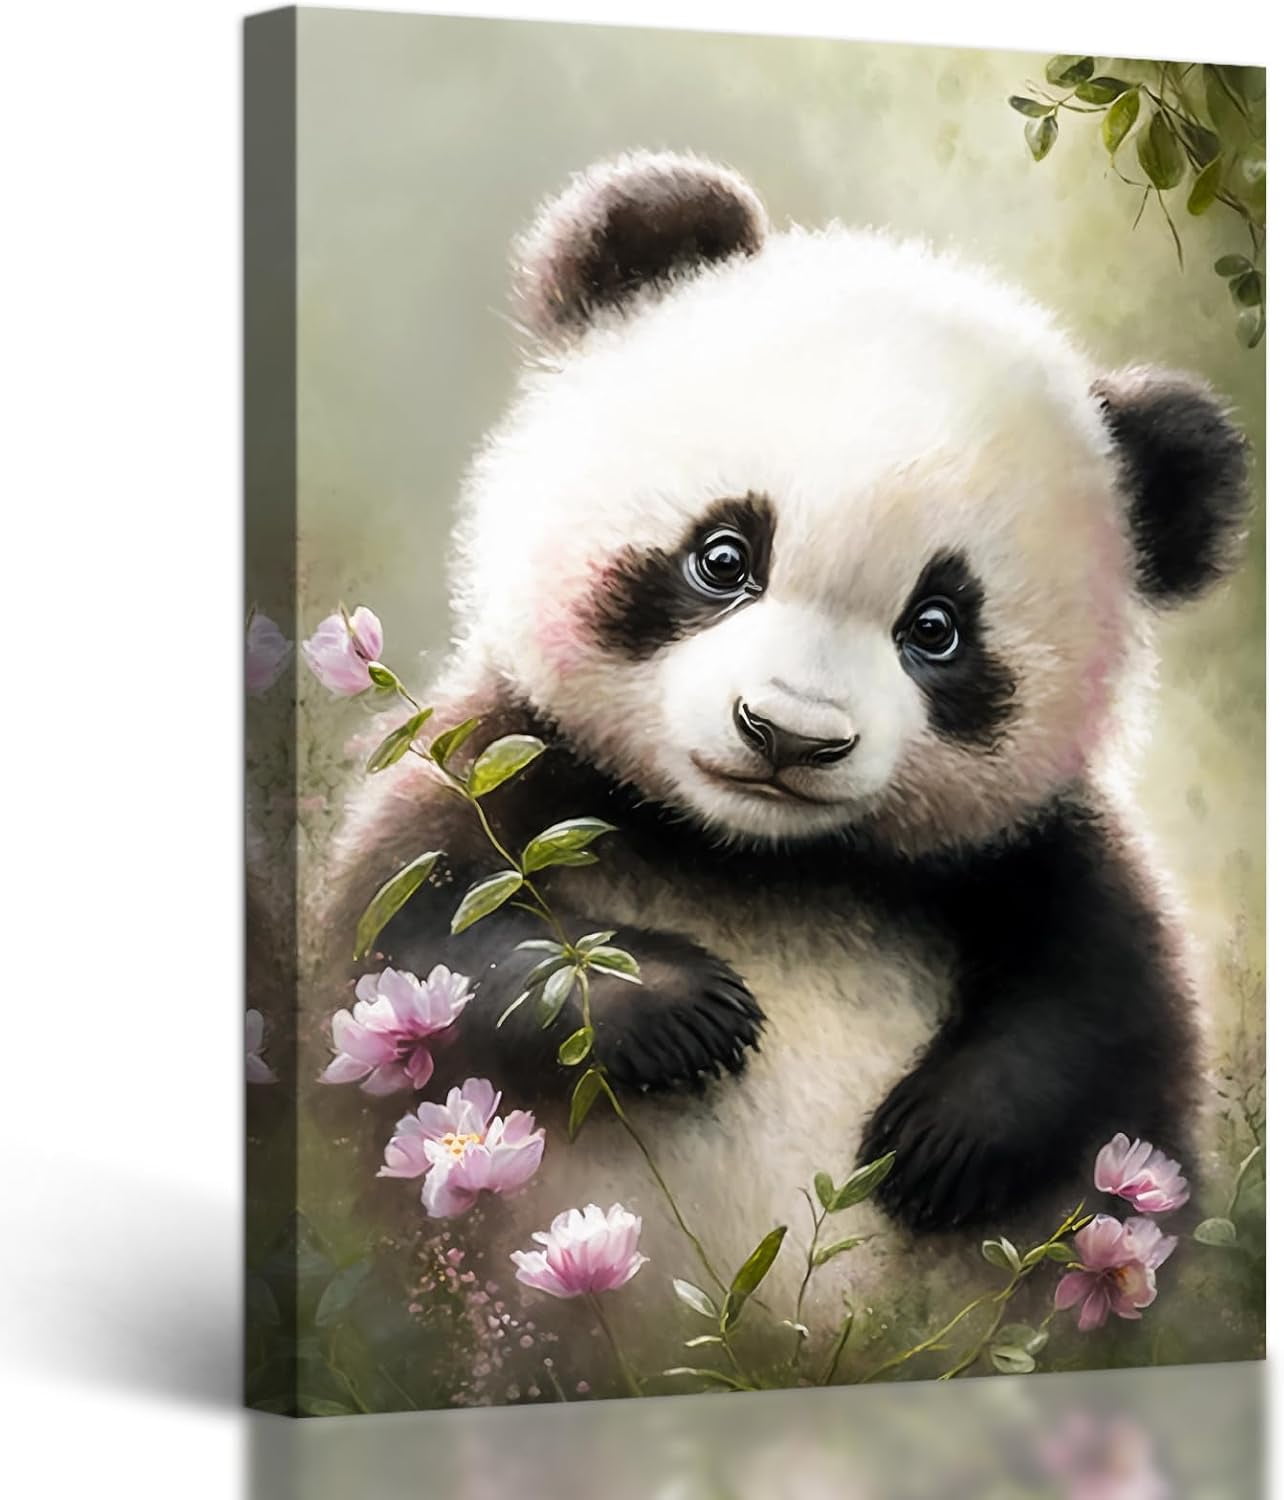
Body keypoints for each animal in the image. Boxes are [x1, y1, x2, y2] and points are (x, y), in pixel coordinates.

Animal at [326, 151, 1250, 1392]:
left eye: (939, 628)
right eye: (724, 556)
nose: (788, 734)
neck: (761, 859)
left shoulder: (1029, 851)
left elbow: (1107, 1017)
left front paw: (943, 1137)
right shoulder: (511, 769)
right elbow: (408, 954)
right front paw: (680, 1008)